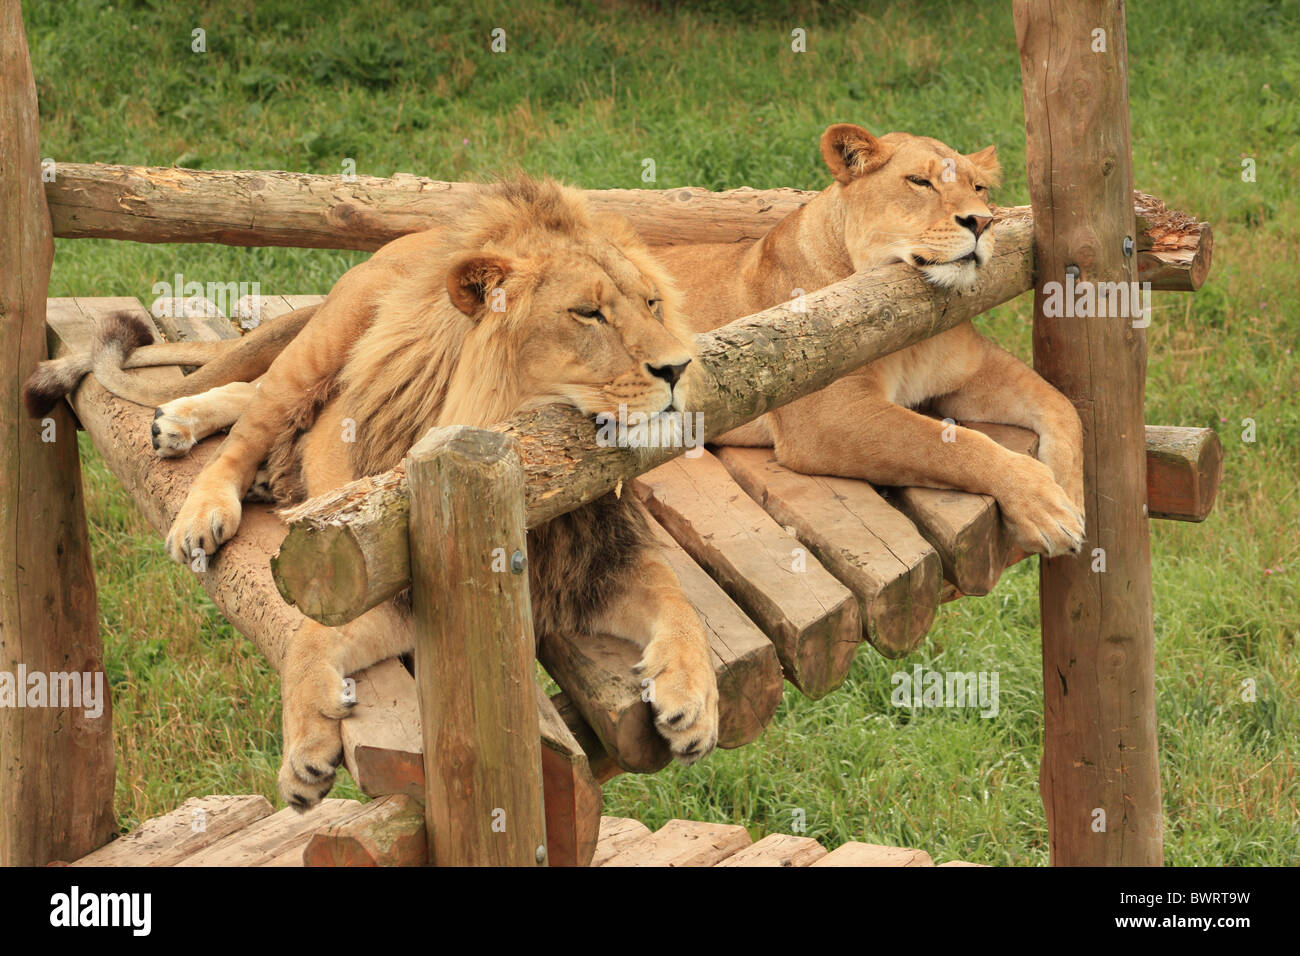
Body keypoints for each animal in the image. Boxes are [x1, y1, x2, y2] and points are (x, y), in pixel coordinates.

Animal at [28, 178, 719, 809]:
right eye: (587, 313)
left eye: (653, 303)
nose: (679, 368)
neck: (540, 492)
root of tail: (405, 242)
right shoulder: (391, 589)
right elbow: (306, 639)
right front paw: (304, 754)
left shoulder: (601, 560)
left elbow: (679, 602)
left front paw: (694, 701)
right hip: (325, 341)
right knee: (257, 420)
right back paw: (203, 496)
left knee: (269, 404)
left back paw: (189, 427)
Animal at [654, 123, 1086, 558]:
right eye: (920, 182)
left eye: (979, 188)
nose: (982, 221)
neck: (917, 324)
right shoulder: (829, 415)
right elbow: (949, 444)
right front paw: (1042, 505)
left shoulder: (972, 370)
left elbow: (1063, 406)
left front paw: (1070, 495)